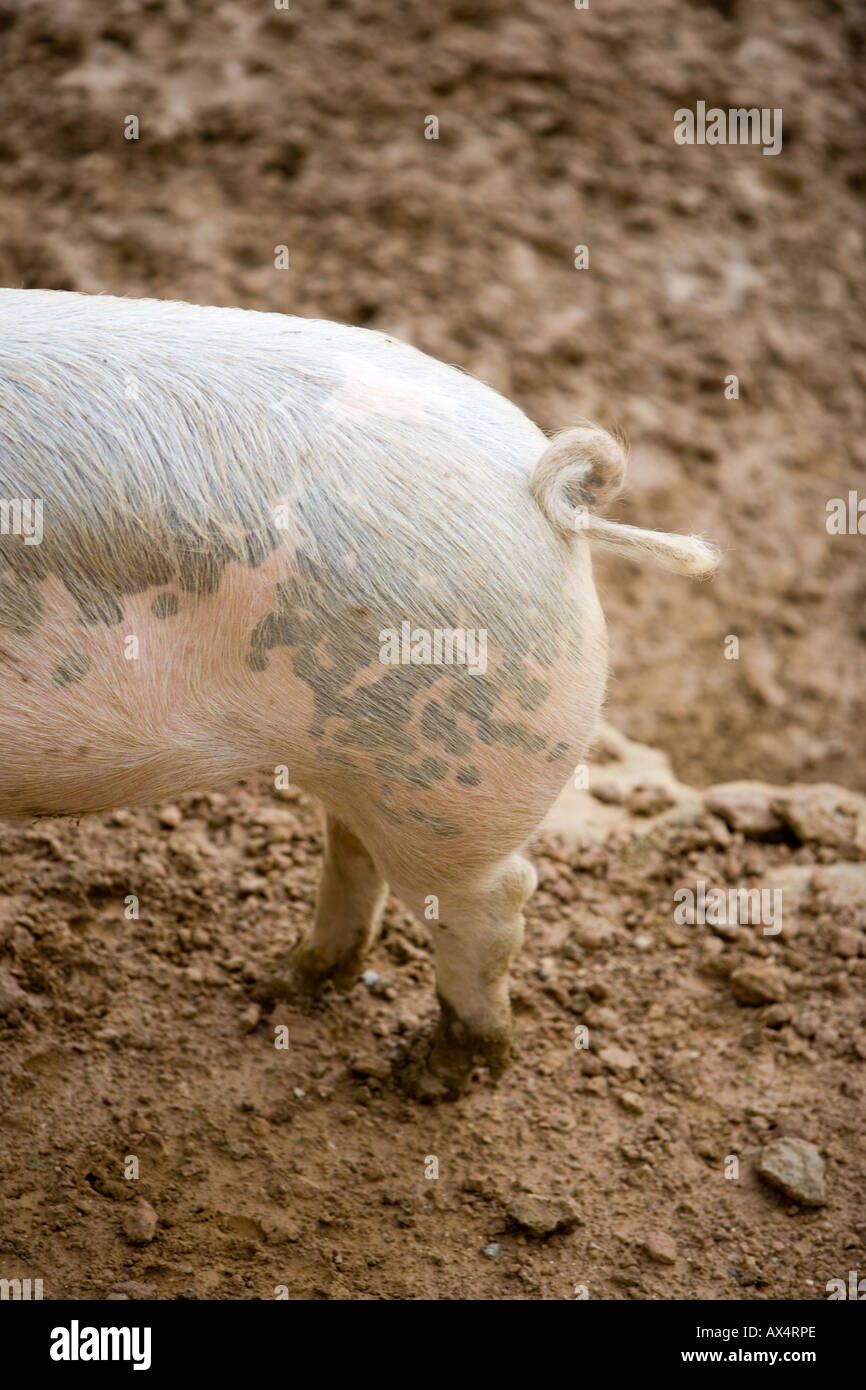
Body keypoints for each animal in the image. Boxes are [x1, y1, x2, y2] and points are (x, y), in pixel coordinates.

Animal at [0, 290, 718, 1098]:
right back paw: (288, 981)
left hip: (448, 780)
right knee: (354, 851)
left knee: (492, 901)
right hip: (365, 755)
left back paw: (434, 1075)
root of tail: (539, 490)